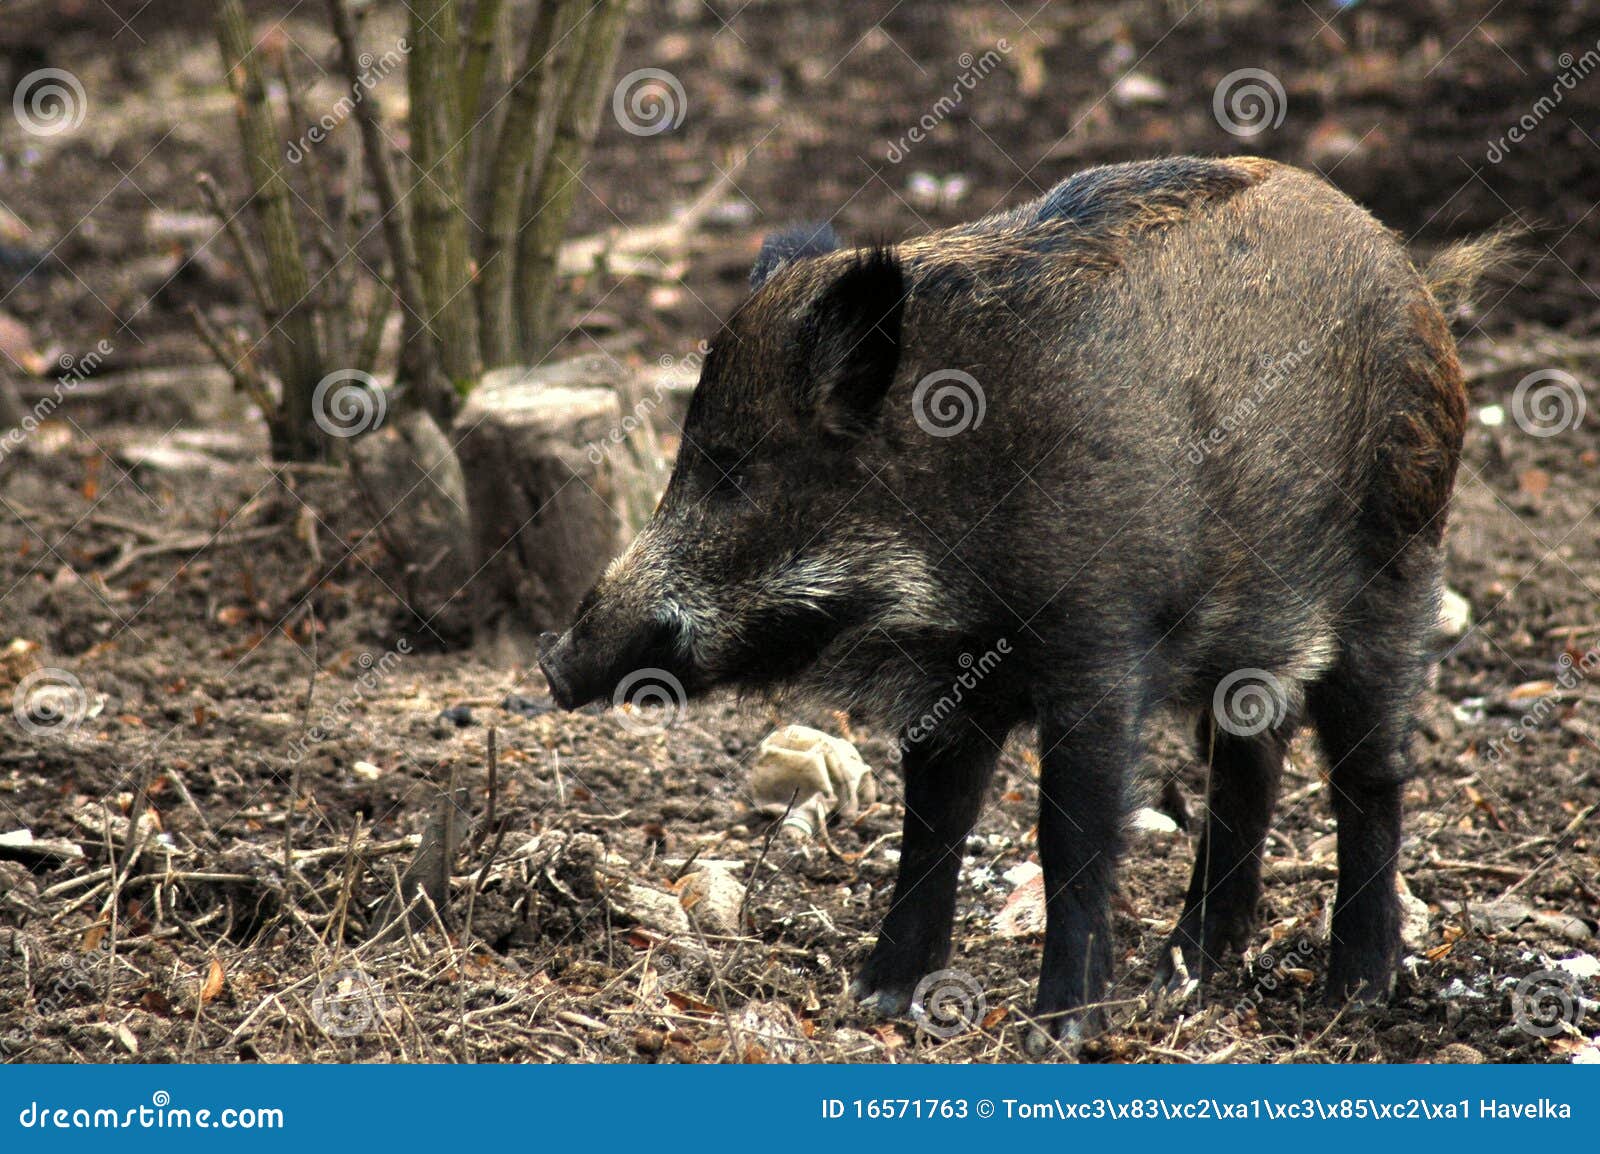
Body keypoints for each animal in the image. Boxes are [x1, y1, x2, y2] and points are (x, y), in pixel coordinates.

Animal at [538, 155, 1507, 1049]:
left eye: (736, 471)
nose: (554, 661)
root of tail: (1412, 271)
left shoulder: (1097, 651)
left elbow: (1069, 835)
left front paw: (1059, 1031)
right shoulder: (947, 682)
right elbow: (933, 824)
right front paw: (878, 998)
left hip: (1400, 567)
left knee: (1369, 773)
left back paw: (1355, 993)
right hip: (1254, 634)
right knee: (1251, 762)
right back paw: (1180, 972)